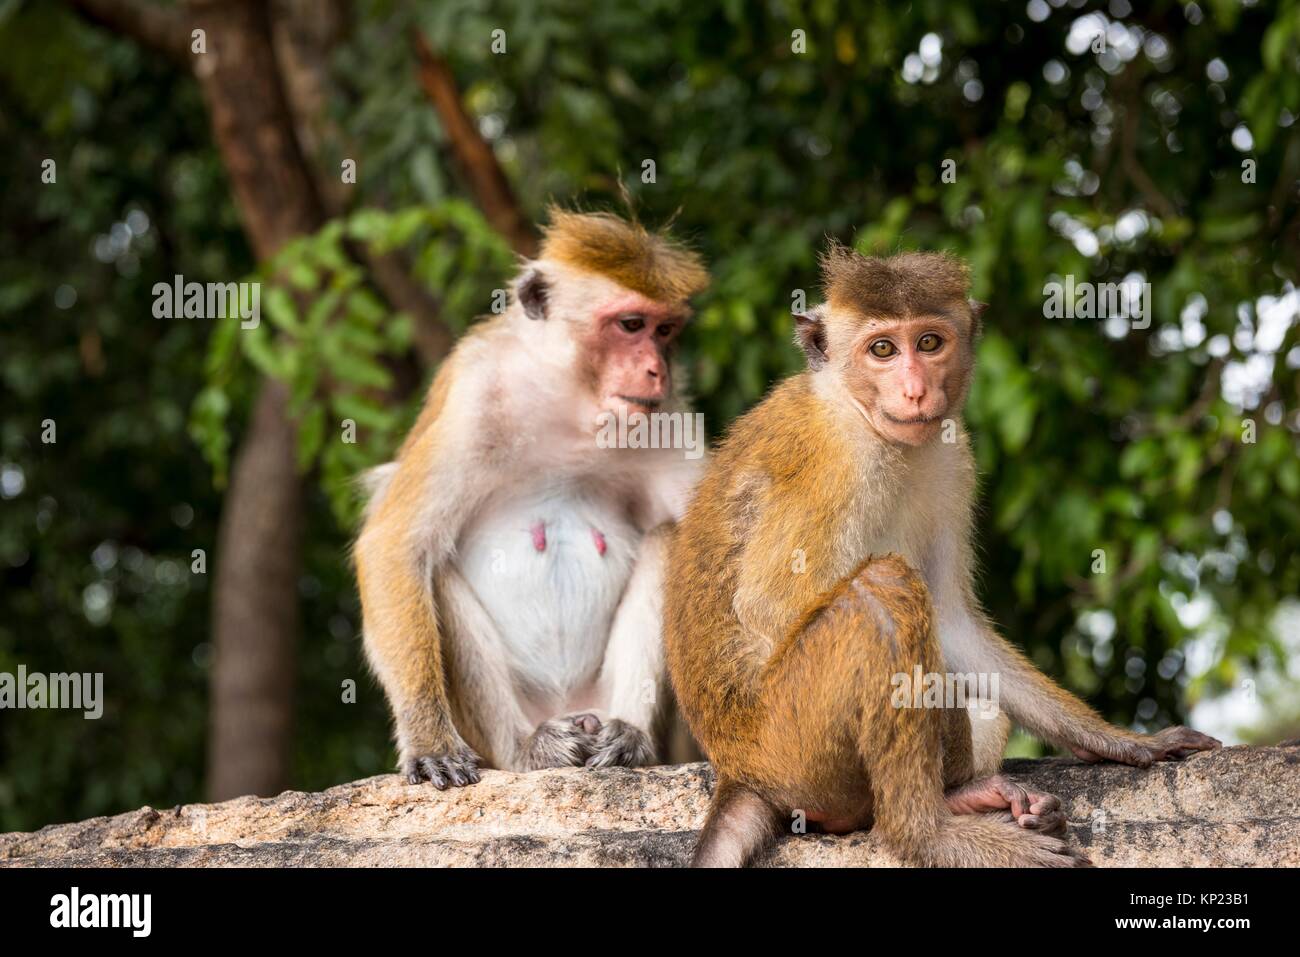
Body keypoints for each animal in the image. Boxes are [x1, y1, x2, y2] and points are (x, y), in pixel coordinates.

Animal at [355, 208, 709, 788]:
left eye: (664, 330)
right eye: (630, 325)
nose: (657, 369)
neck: (569, 403)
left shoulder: (667, 421)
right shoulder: (473, 394)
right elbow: (394, 546)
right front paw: (429, 741)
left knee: (669, 539)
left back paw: (625, 738)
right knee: (436, 570)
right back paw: (528, 749)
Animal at [664, 241, 1220, 867]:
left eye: (929, 343)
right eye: (882, 349)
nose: (915, 390)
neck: (860, 414)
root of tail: (738, 772)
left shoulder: (955, 456)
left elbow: (953, 623)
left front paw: (1125, 743)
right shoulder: (833, 461)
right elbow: (769, 603)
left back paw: (961, 797)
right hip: (791, 748)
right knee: (880, 594)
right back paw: (927, 828)